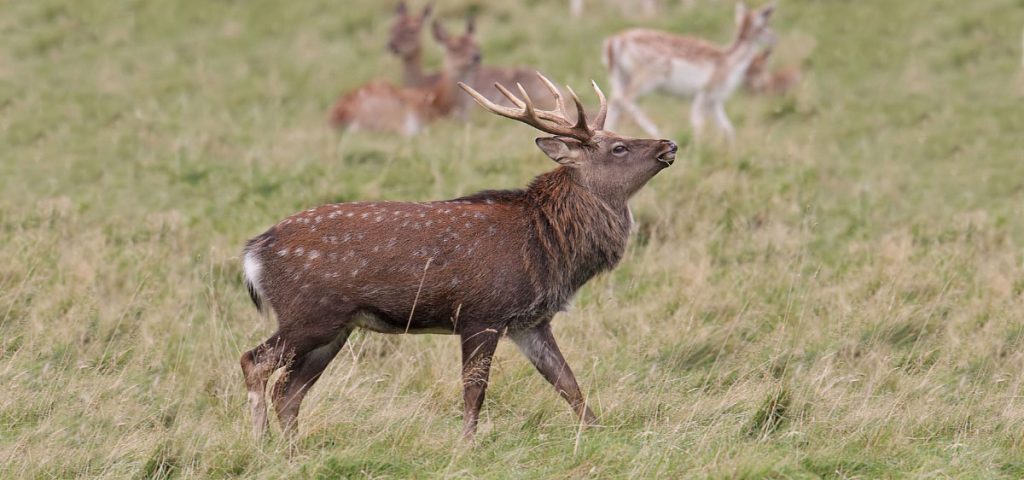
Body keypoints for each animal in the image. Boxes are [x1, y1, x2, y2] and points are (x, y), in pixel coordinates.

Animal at [241, 73, 677, 442]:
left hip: (336, 327)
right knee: (255, 363)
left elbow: (567, 383)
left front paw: (599, 433)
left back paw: (292, 451)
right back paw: (262, 444)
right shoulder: (481, 313)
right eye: (619, 147)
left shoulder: (530, 322)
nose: (668, 144)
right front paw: (467, 445)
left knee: (289, 391)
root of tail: (253, 253)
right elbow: (474, 390)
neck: (548, 245)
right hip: (309, 314)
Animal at [602, 2, 777, 141]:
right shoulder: (705, 91)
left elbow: (728, 128)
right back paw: (656, 132)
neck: (730, 64)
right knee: (625, 99)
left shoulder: (715, 100)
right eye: (763, 27)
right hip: (650, 73)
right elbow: (698, 122)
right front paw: (698, 146)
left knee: (614, 101)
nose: (775, 37)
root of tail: (613, 43)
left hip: (620, 76)